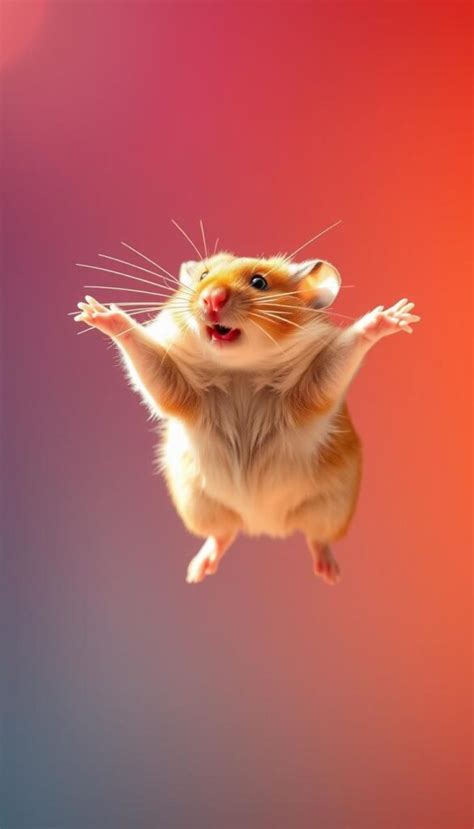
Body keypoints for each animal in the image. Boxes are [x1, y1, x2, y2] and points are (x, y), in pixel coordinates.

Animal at [75, 246, 420, 585]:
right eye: (203, 276)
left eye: (259, 283)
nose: (211, 299)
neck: (240, 369)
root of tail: (263, 525)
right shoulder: (180, 391)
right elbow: (150, 364)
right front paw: (92, 310)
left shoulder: (311, 392)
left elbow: (339, 359)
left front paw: (397, 314)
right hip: (199, 505)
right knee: (222, 534)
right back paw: (196, 572)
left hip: (330, 509)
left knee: (317, 538)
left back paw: (329, 574)